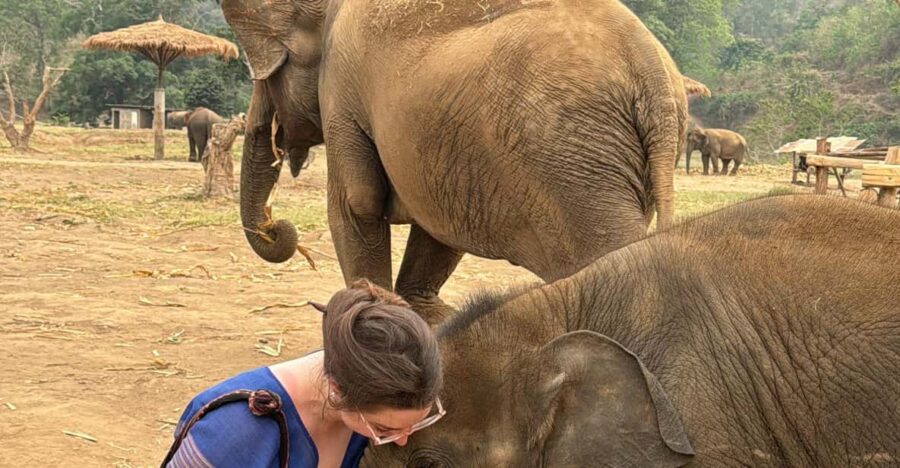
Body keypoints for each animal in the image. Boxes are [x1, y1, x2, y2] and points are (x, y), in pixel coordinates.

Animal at [221, 0, 708, 317]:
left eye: (268, 78)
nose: (277, 225)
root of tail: (655, 80)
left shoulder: (342, 89)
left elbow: (357, 204)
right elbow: (437, 225)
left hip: (575, 164)